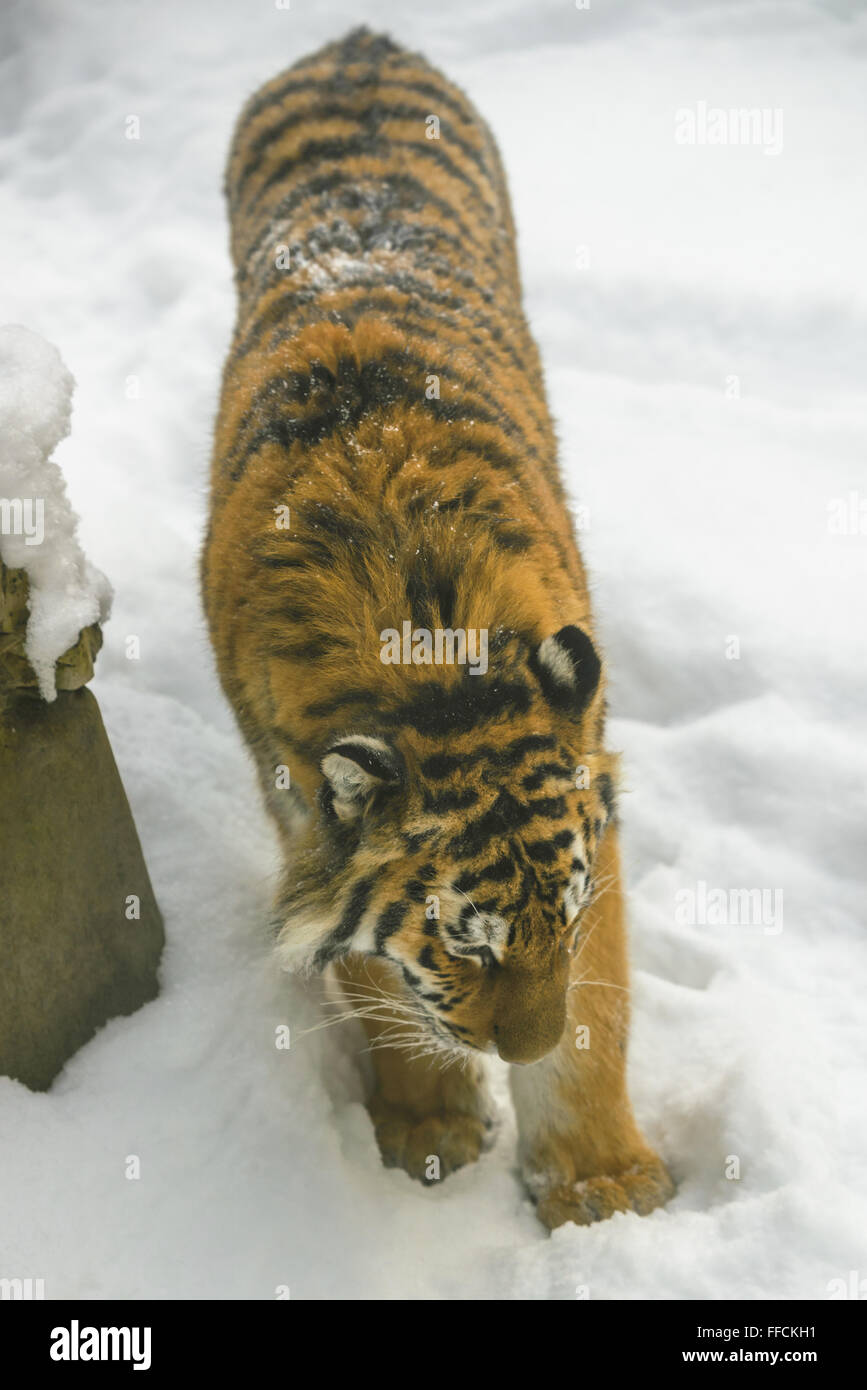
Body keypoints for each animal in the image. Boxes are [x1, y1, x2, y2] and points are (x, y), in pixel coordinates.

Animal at [202, 27, 674, 1229]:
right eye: (465, 946)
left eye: (569, 911)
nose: (522, 1047)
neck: (438, 675)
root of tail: (354, 39)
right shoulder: (306, 816)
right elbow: (381, 987)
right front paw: (427, 1132)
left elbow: (598, 1018)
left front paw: (601, 1183)